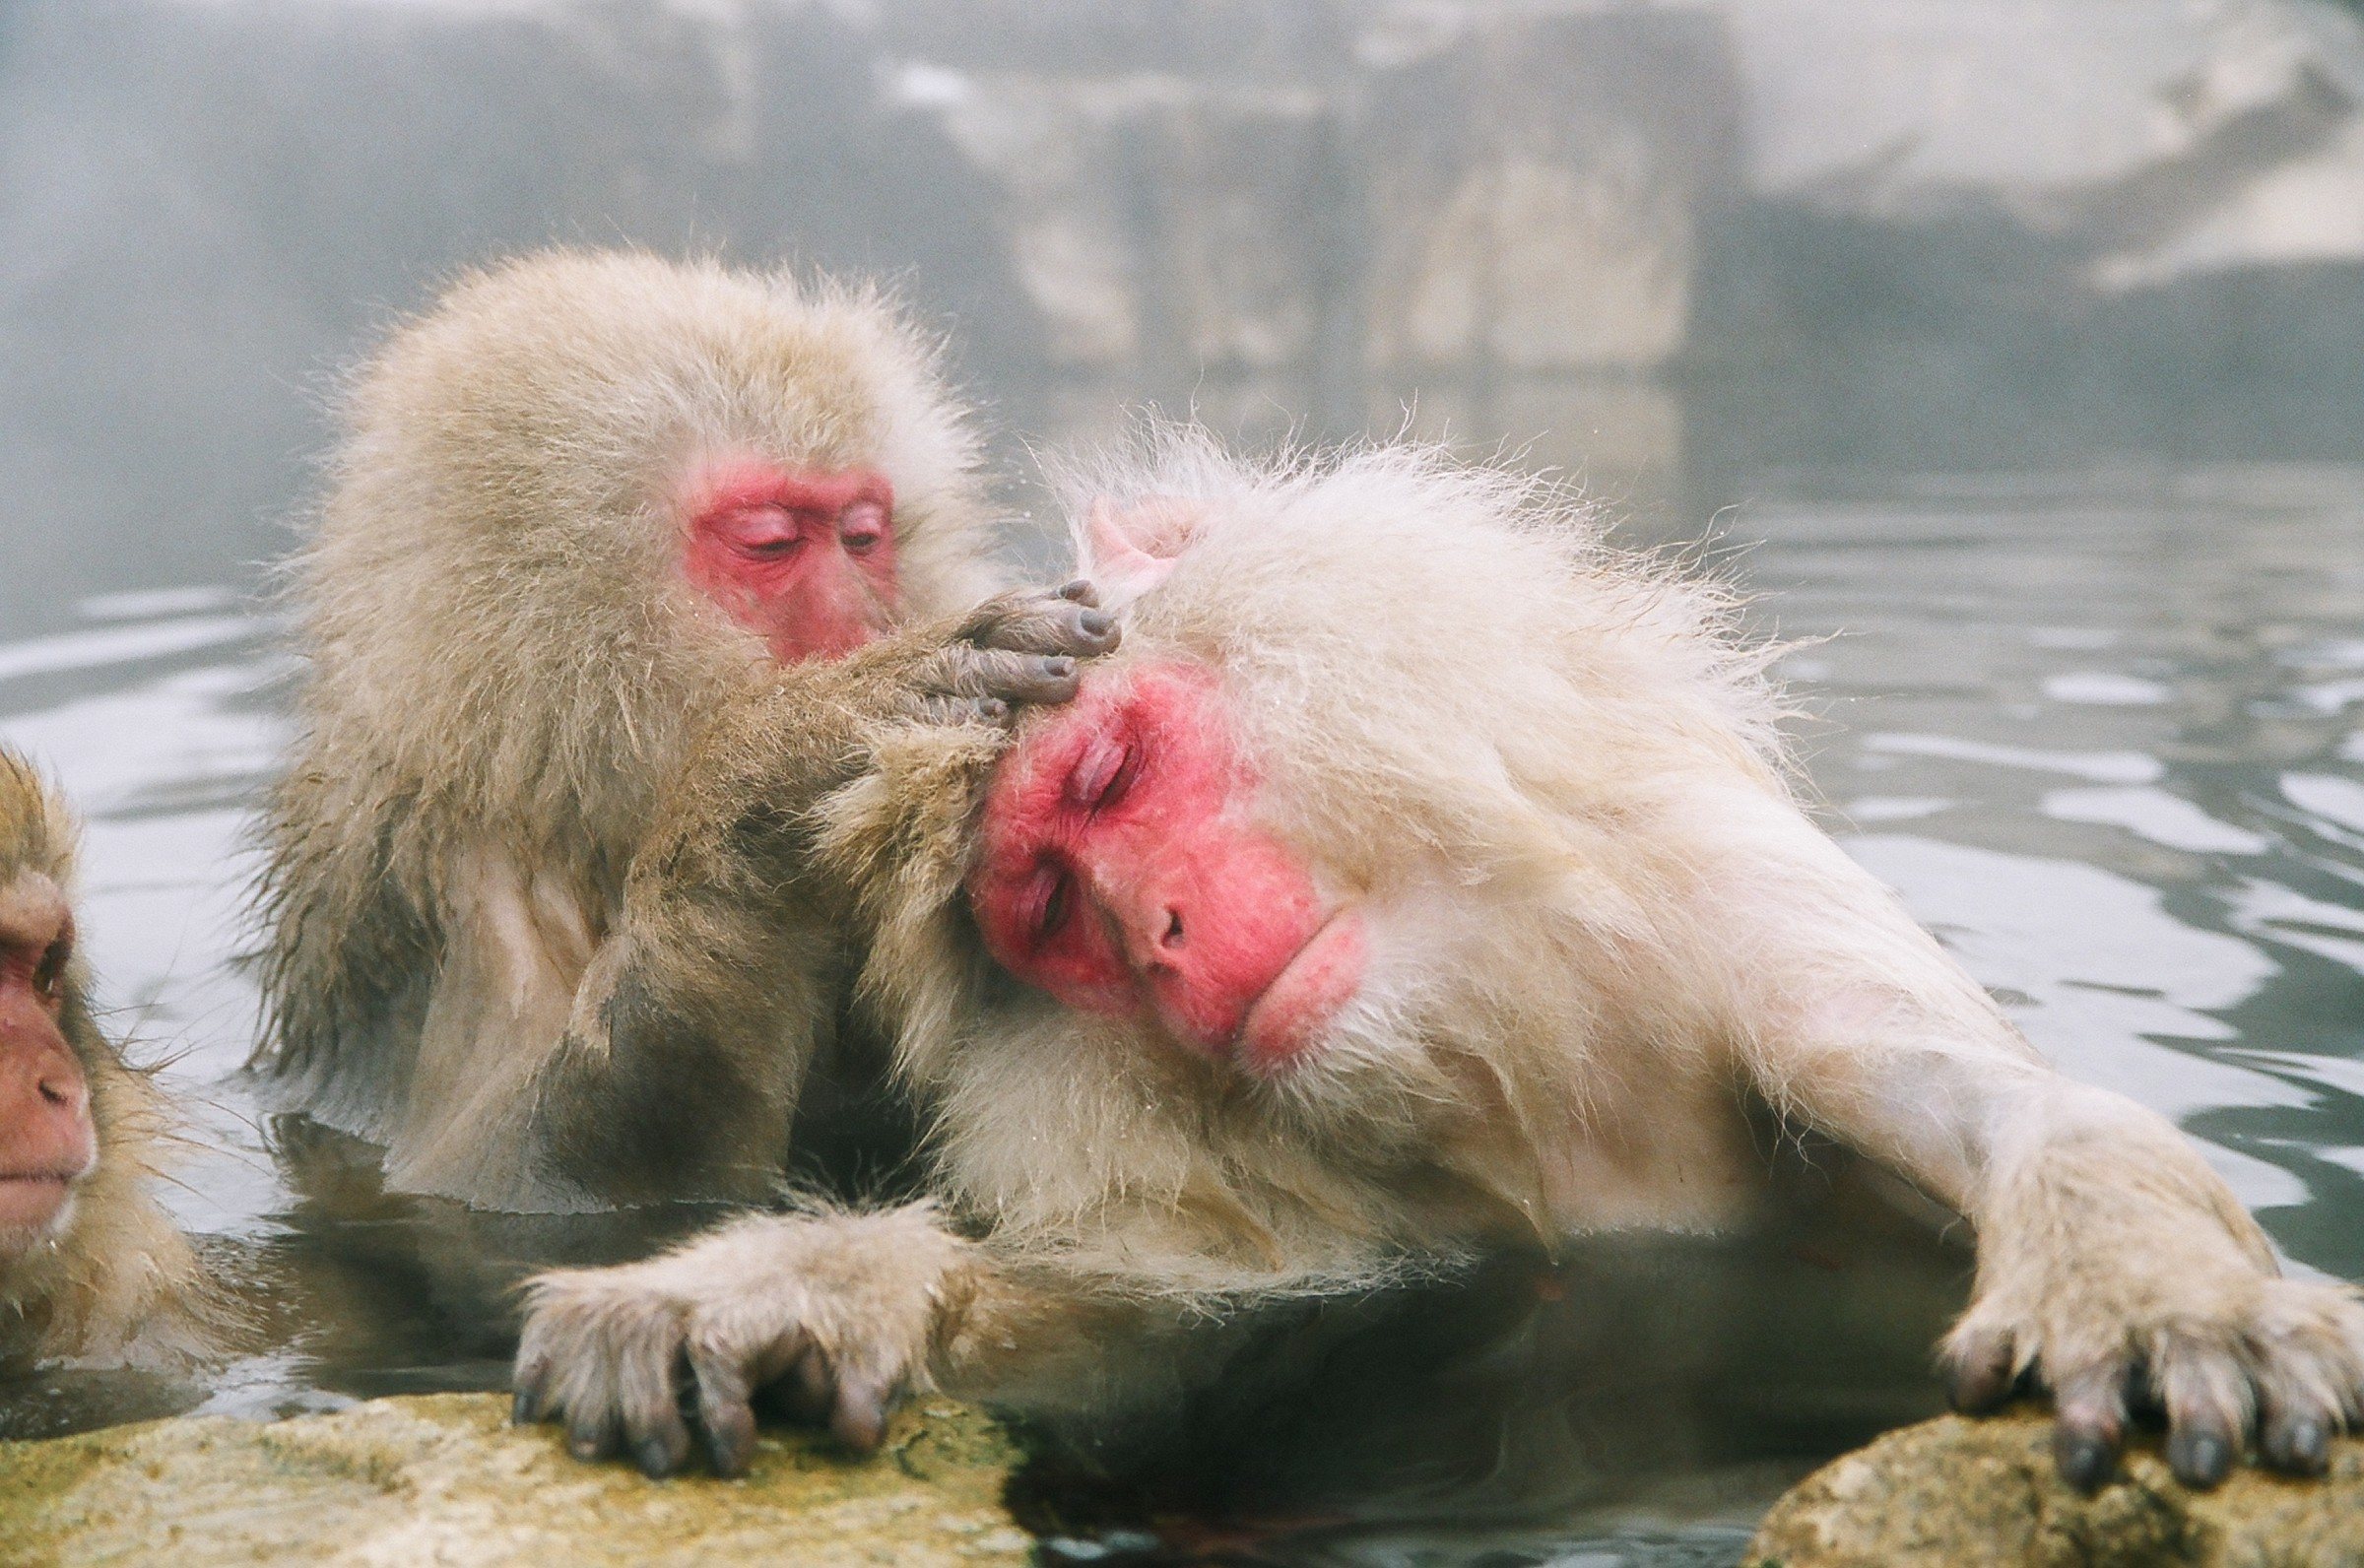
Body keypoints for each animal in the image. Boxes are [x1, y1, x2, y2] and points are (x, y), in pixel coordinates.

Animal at [249, 249, 1115, 1213]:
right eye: (770, 544)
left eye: (863, 536)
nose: (865, 624)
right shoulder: (471, 902)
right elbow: (516, 1180)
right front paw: (775, 781)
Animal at [511, 431, 2364, 1491]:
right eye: (1047, 910)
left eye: (1104, 781)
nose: (1161, 938)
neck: (1512, 1052)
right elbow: (1165, 1305)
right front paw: (785, 1290)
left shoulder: (1726, 901)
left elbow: (1973, 1092)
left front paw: (2142, 1280)